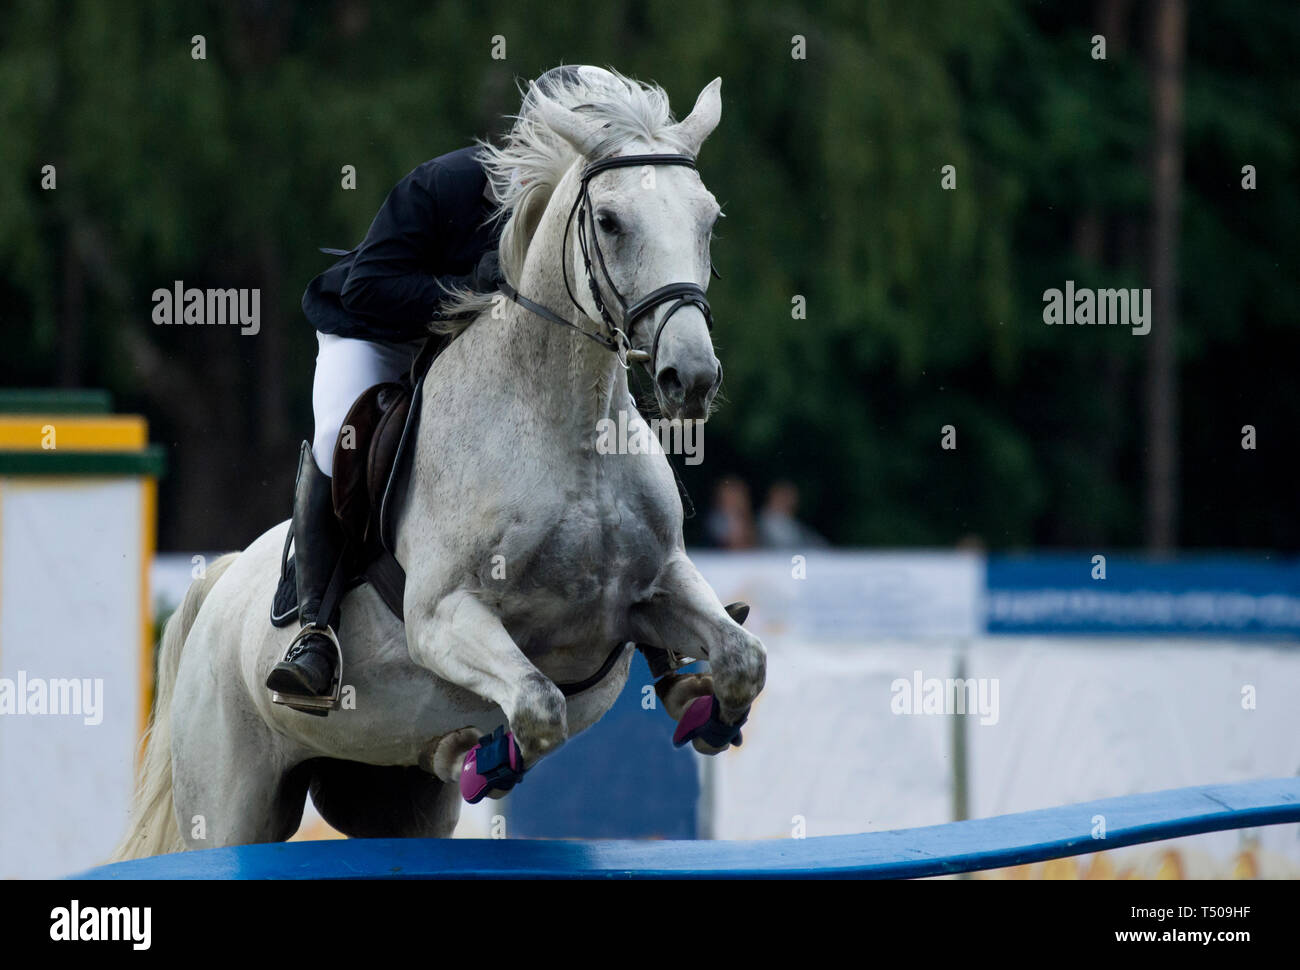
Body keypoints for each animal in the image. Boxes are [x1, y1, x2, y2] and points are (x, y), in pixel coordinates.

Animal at [112, 67, 766, 858]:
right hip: (230, 796)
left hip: (391, 798)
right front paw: (490, 760)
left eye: (708, 220)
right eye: (609, 221)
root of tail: (217, 585)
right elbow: (539, 704)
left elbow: (743, 658)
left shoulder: (659, 584)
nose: (690, 377)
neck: (571, 433)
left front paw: (711, 712)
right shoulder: (443, 615)